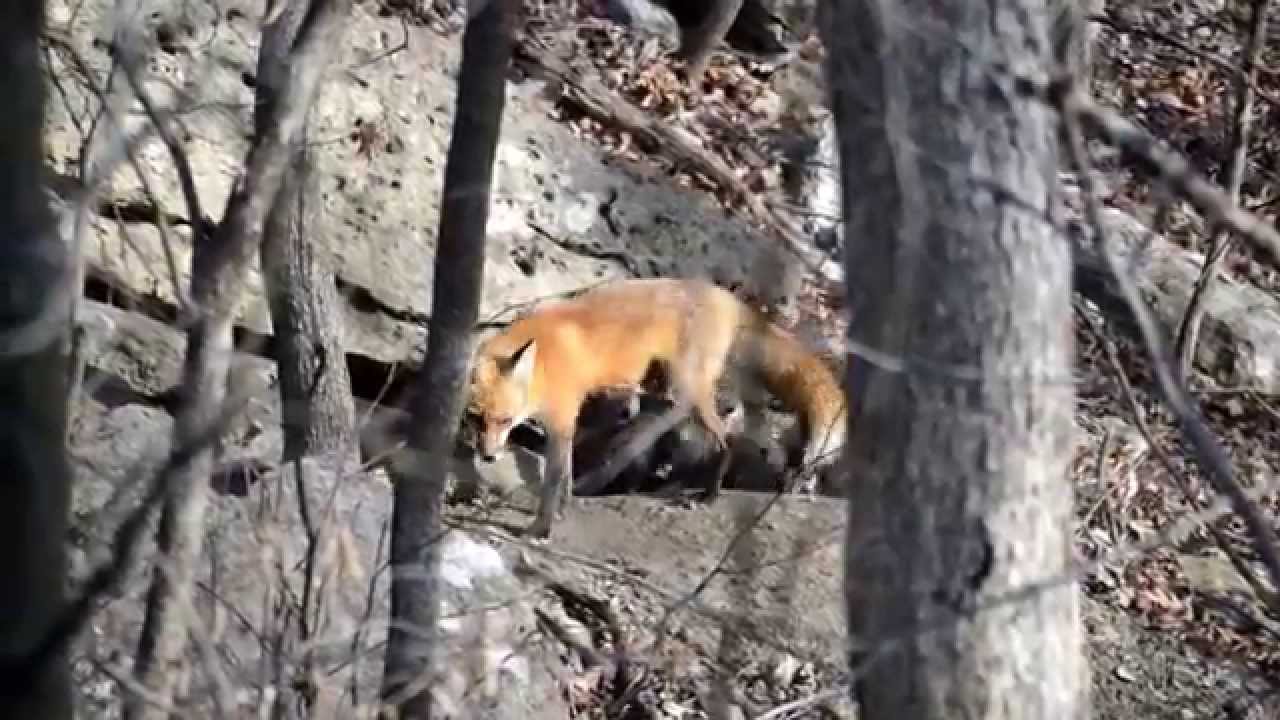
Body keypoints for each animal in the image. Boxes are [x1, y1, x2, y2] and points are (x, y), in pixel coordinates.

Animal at [466, 277, 847, 539]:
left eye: (505, 420)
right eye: (475, 418)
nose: (487, 457)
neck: (543, 362)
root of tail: (724, 295)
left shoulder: (562, 419)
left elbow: (554, 479)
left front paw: (541, 528)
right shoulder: (565, 423)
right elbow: (568, 475)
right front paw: (566, 507)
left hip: (687, 384)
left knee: (723, 438)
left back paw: (708, 493)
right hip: (671, 381)